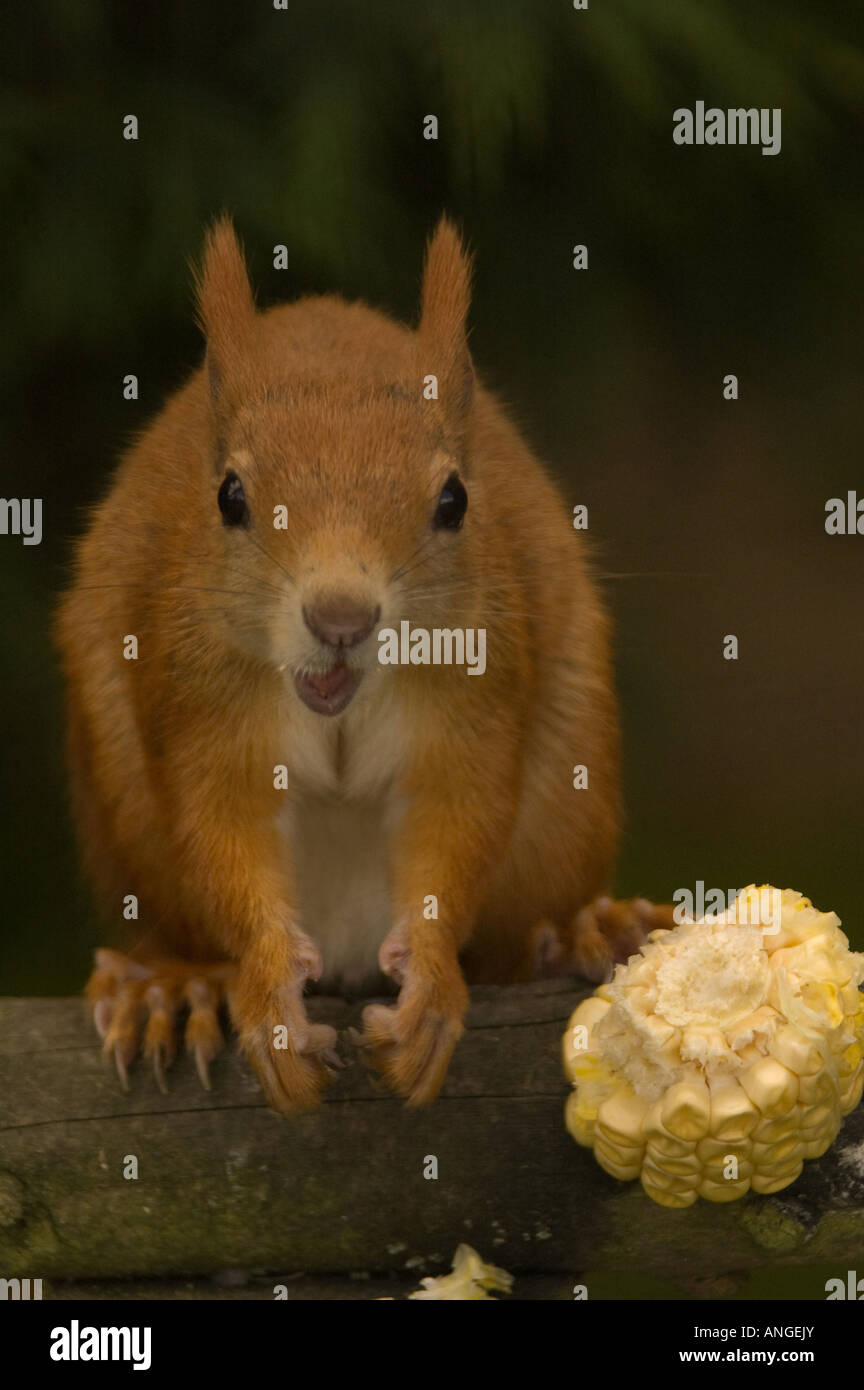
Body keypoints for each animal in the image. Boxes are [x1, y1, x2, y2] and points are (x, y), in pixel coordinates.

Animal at [55, 216, 673, 1112]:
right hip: (129, 824)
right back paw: (175, 986)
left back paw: (581, 929)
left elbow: (457, 820)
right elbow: (222, 829)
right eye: (230, 496)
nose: (340, 620)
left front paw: (432, 989)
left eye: (454, 500)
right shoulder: (201, 697)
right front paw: (266, 991)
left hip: (567, 800)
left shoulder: (472, 694)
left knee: (511, 936)